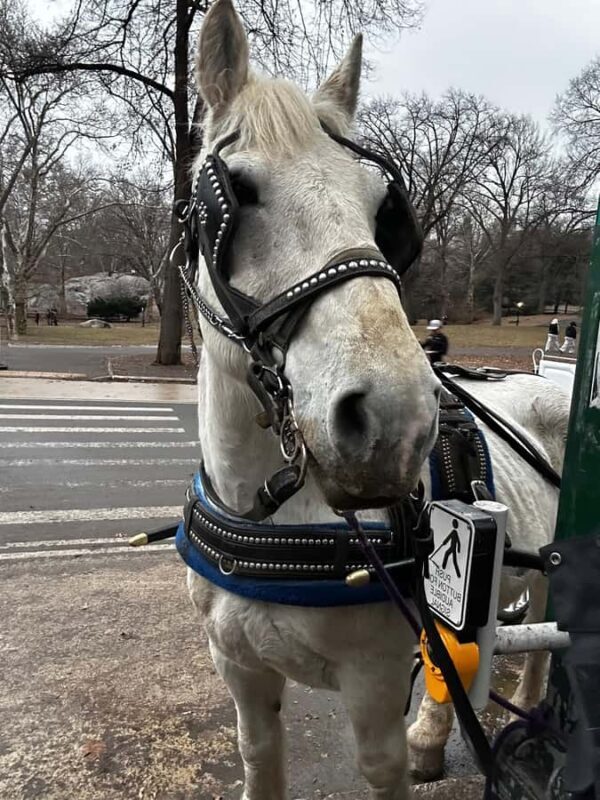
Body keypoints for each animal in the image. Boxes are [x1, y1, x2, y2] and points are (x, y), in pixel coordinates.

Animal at [186, 0, 571, 795]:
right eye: (237, 191)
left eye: (379, 209)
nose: (394, 419)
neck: (269, 511)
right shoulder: (241, 671)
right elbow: (258, 756)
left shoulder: (372, 684)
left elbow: (381, 763)